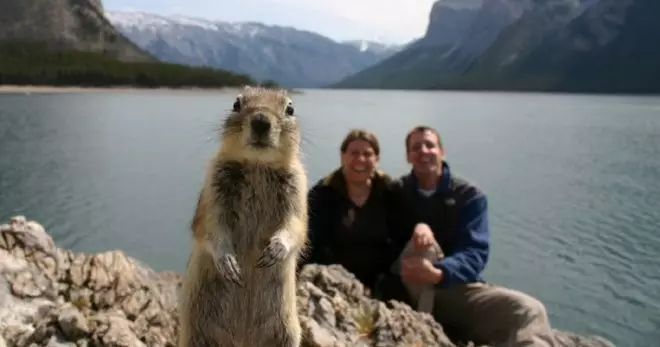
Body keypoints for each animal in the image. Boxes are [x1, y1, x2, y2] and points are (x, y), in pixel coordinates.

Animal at [177, 86, 308, 347]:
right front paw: (228, 263)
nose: (261, 120)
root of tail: (242, 340)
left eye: (290, 108)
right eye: (236, 103)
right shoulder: (213, 189)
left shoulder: (298, 189)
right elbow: (210, 226)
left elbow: (295, 226)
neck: (258, 165)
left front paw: (275, 250)